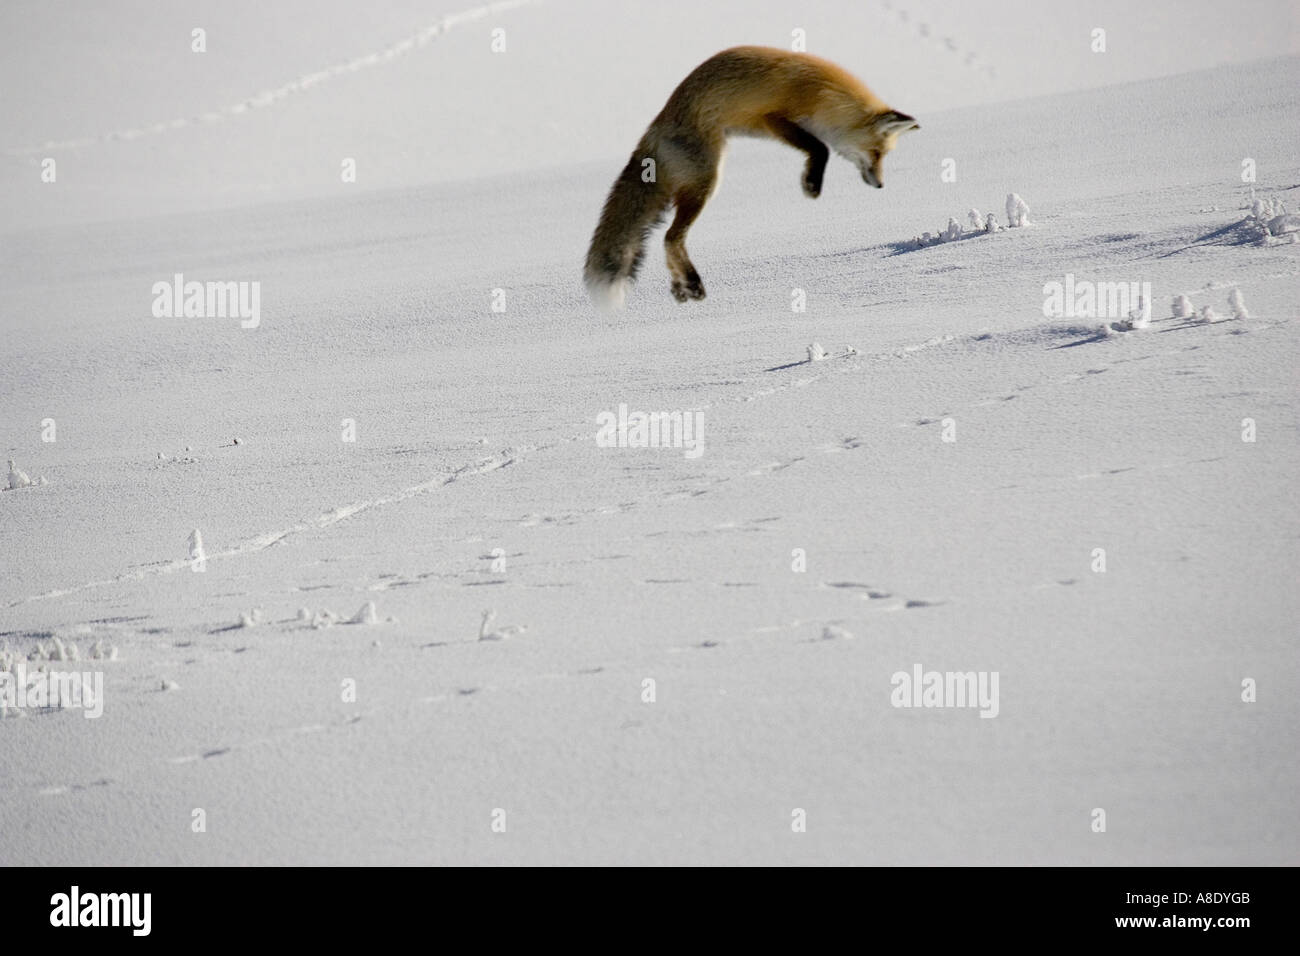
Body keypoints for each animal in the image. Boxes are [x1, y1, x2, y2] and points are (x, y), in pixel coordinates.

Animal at [583, 45, 919, 310]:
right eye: (878, 153)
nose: (880, 184)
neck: (825, 93)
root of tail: (654, 128)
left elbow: (819, 146)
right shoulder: (772, 117)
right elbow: (819, 148)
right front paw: (811, 184)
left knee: (669, 240)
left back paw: (680, 288)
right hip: (707, 182)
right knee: (671, 237)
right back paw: (692, 283)